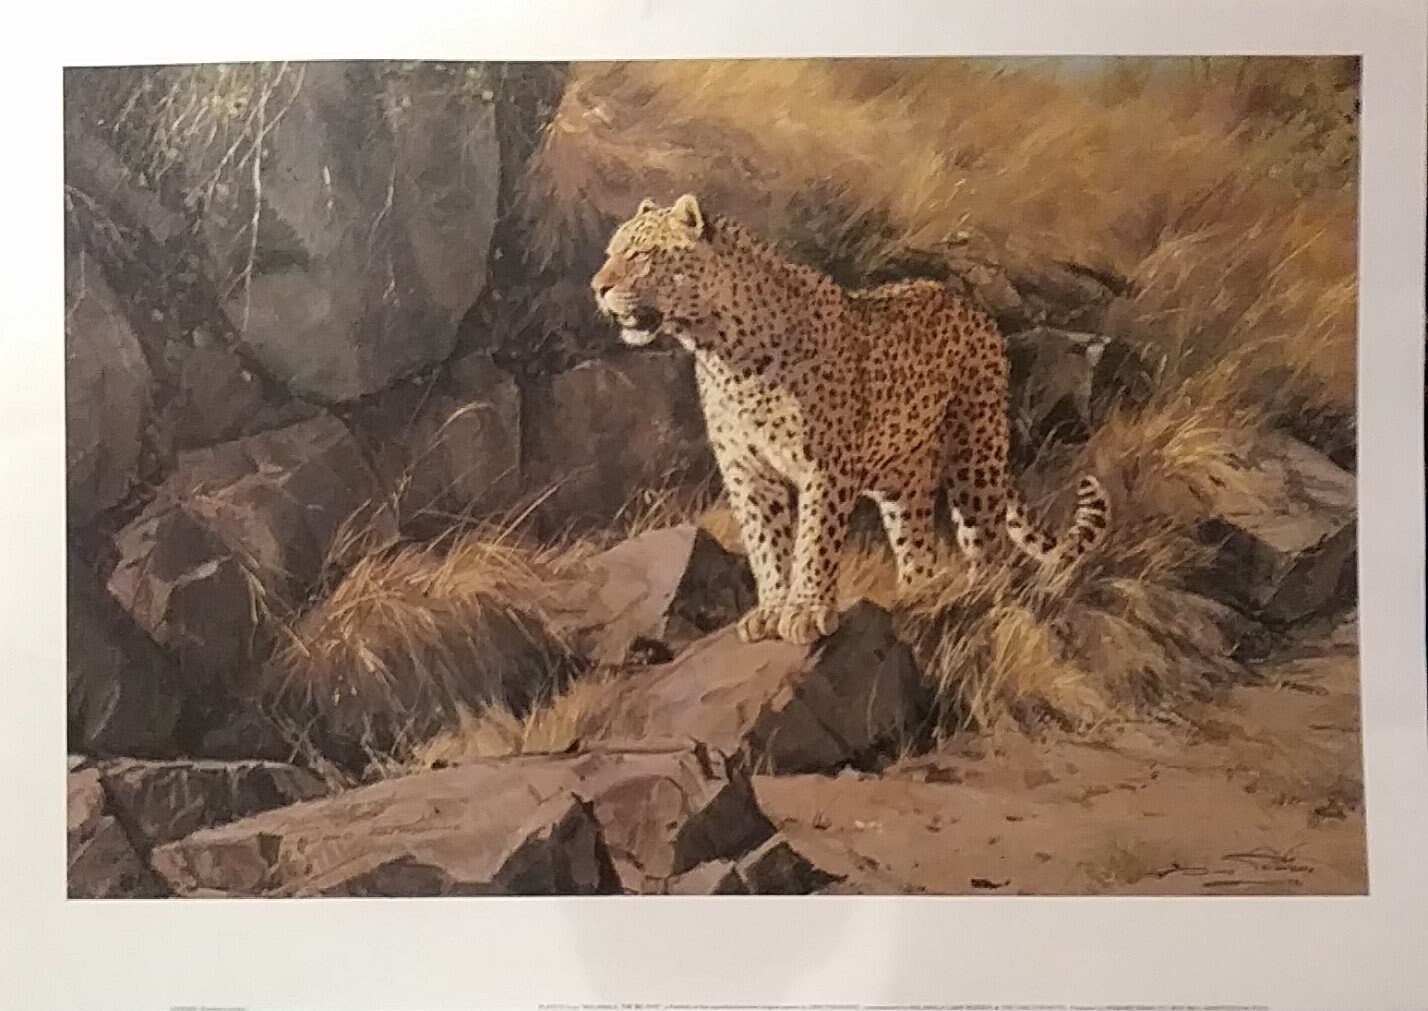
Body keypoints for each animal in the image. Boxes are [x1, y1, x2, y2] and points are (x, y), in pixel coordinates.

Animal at [591, 193, 1110, 646]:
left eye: (641, 255)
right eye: (610, 253)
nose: (598, 287)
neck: (723, 352)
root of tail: (968, 305)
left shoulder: (825, 465)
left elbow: (813, 540)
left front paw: (804, 611)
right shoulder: (747, 470)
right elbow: (764, 543)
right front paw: (770, 609)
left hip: (975, 457)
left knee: (988, 542)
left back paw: (982, 601)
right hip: (902, 479)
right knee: (916, 544)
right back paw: (918, 597)